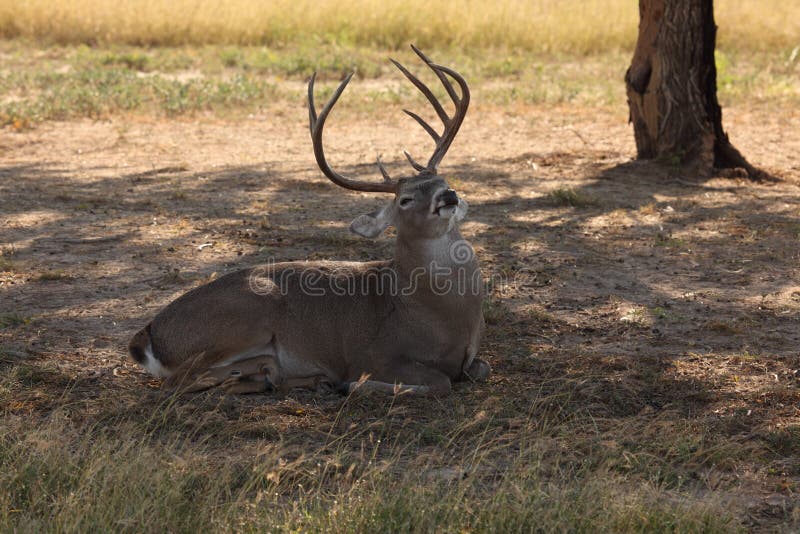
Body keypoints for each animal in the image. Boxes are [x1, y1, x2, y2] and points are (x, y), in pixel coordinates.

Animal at [127, 45, 489, 396]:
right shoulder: (375, 353)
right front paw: (354, 385)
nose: (449, 196)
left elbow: (480, 369)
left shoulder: (469, 358)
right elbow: (439, 383)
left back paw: (286, 378)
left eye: (444, 181)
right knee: (177, 383)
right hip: (247, 313)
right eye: (405, 199)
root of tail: (148, 333)